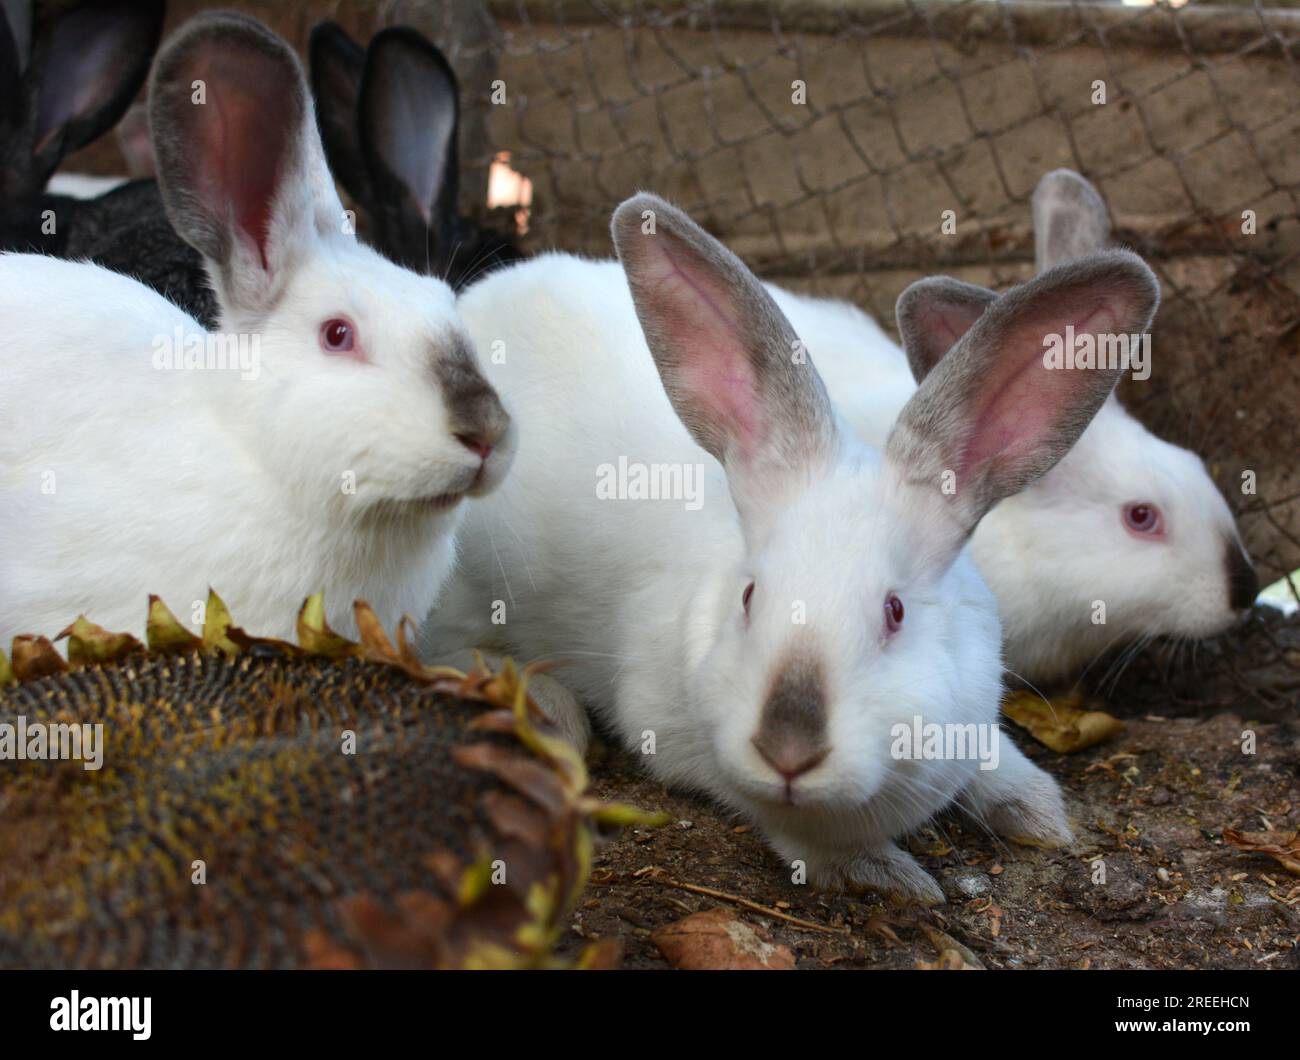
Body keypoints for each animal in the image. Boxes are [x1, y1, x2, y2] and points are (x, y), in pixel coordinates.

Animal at [421, 191, 1159, 898]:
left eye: (895, 611)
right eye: (751, 597)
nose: (788, 751)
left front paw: (1036, 811)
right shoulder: (675, 734)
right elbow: (783, 823)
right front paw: (882, 873)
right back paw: (548, 709)